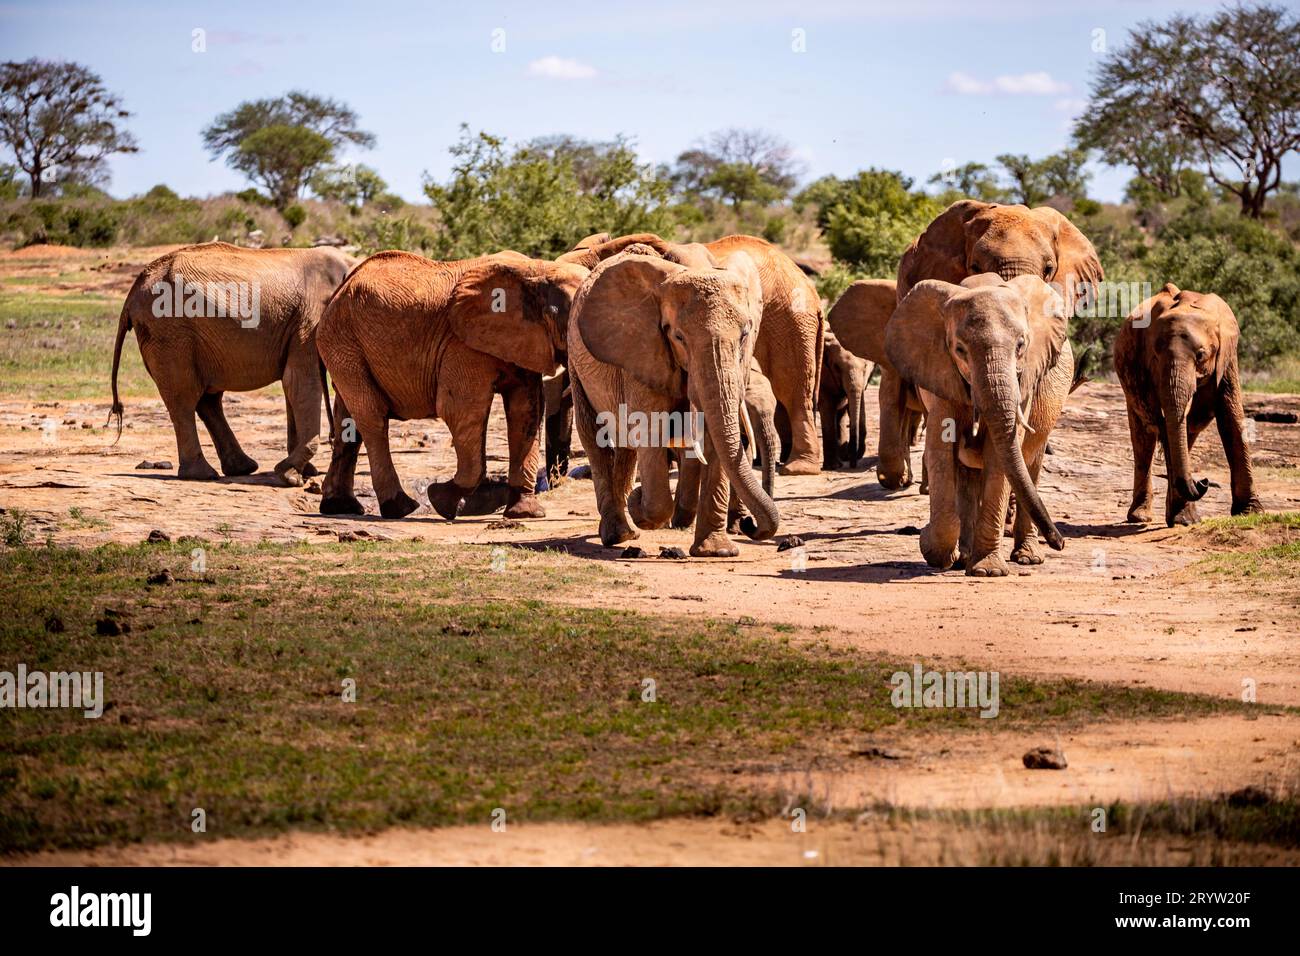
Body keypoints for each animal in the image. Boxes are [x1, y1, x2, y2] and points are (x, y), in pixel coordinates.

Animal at [109, 242, 355, 485]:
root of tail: (132, 294)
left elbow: (292, 388)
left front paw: (304, 472)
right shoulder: (308, 321)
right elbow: (300, 382)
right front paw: (290, 476)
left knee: (207, 399)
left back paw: (242, 468)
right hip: (168, 332)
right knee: (183, 398)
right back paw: (202, 474)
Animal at [315, 251, 588, 520]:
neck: (539, 270)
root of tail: (339, 290)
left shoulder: (526, 342)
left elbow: (526, 411)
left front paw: (526, 513)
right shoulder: (463, 345)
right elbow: (461, 409)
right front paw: (440, 500)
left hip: (345, 346)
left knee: (349, 421)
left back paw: (341, 507)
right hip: (342, 341)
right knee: (372, 417)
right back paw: (400, 508)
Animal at [567, 246, 780, 557]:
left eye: (744, 334)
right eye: (678, 336)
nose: (750, 525)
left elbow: (713, 438)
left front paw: (716, 552)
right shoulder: (642, 351)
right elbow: (650, 429)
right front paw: (639, 501)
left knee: (626, 445)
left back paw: (628, 529)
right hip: (576, 365)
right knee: (594, 437)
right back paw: (618, 534)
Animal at [885, 274, 1073, 577]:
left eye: (1021, 345)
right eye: (959, 349)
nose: (1060, 542)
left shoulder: (1025, 382)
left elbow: (999, 455)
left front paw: (988, 571)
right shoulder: (939, 372)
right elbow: (940, 449)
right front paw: (931, 547)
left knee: (1030, 465)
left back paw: (1027, 558)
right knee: (967, 476)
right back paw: (963, 558)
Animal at [1114, 283, 1263, 527]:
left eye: (1201, 355)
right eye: (1155, 356)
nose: (1203, 482)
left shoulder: (1227, 356)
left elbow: (1229, 417)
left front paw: (1250, 512)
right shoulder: (1145, 366)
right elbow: (1164, 425)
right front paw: (1185, 519)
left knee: (1189, 427)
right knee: (1145, 436)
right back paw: (1140, 516)